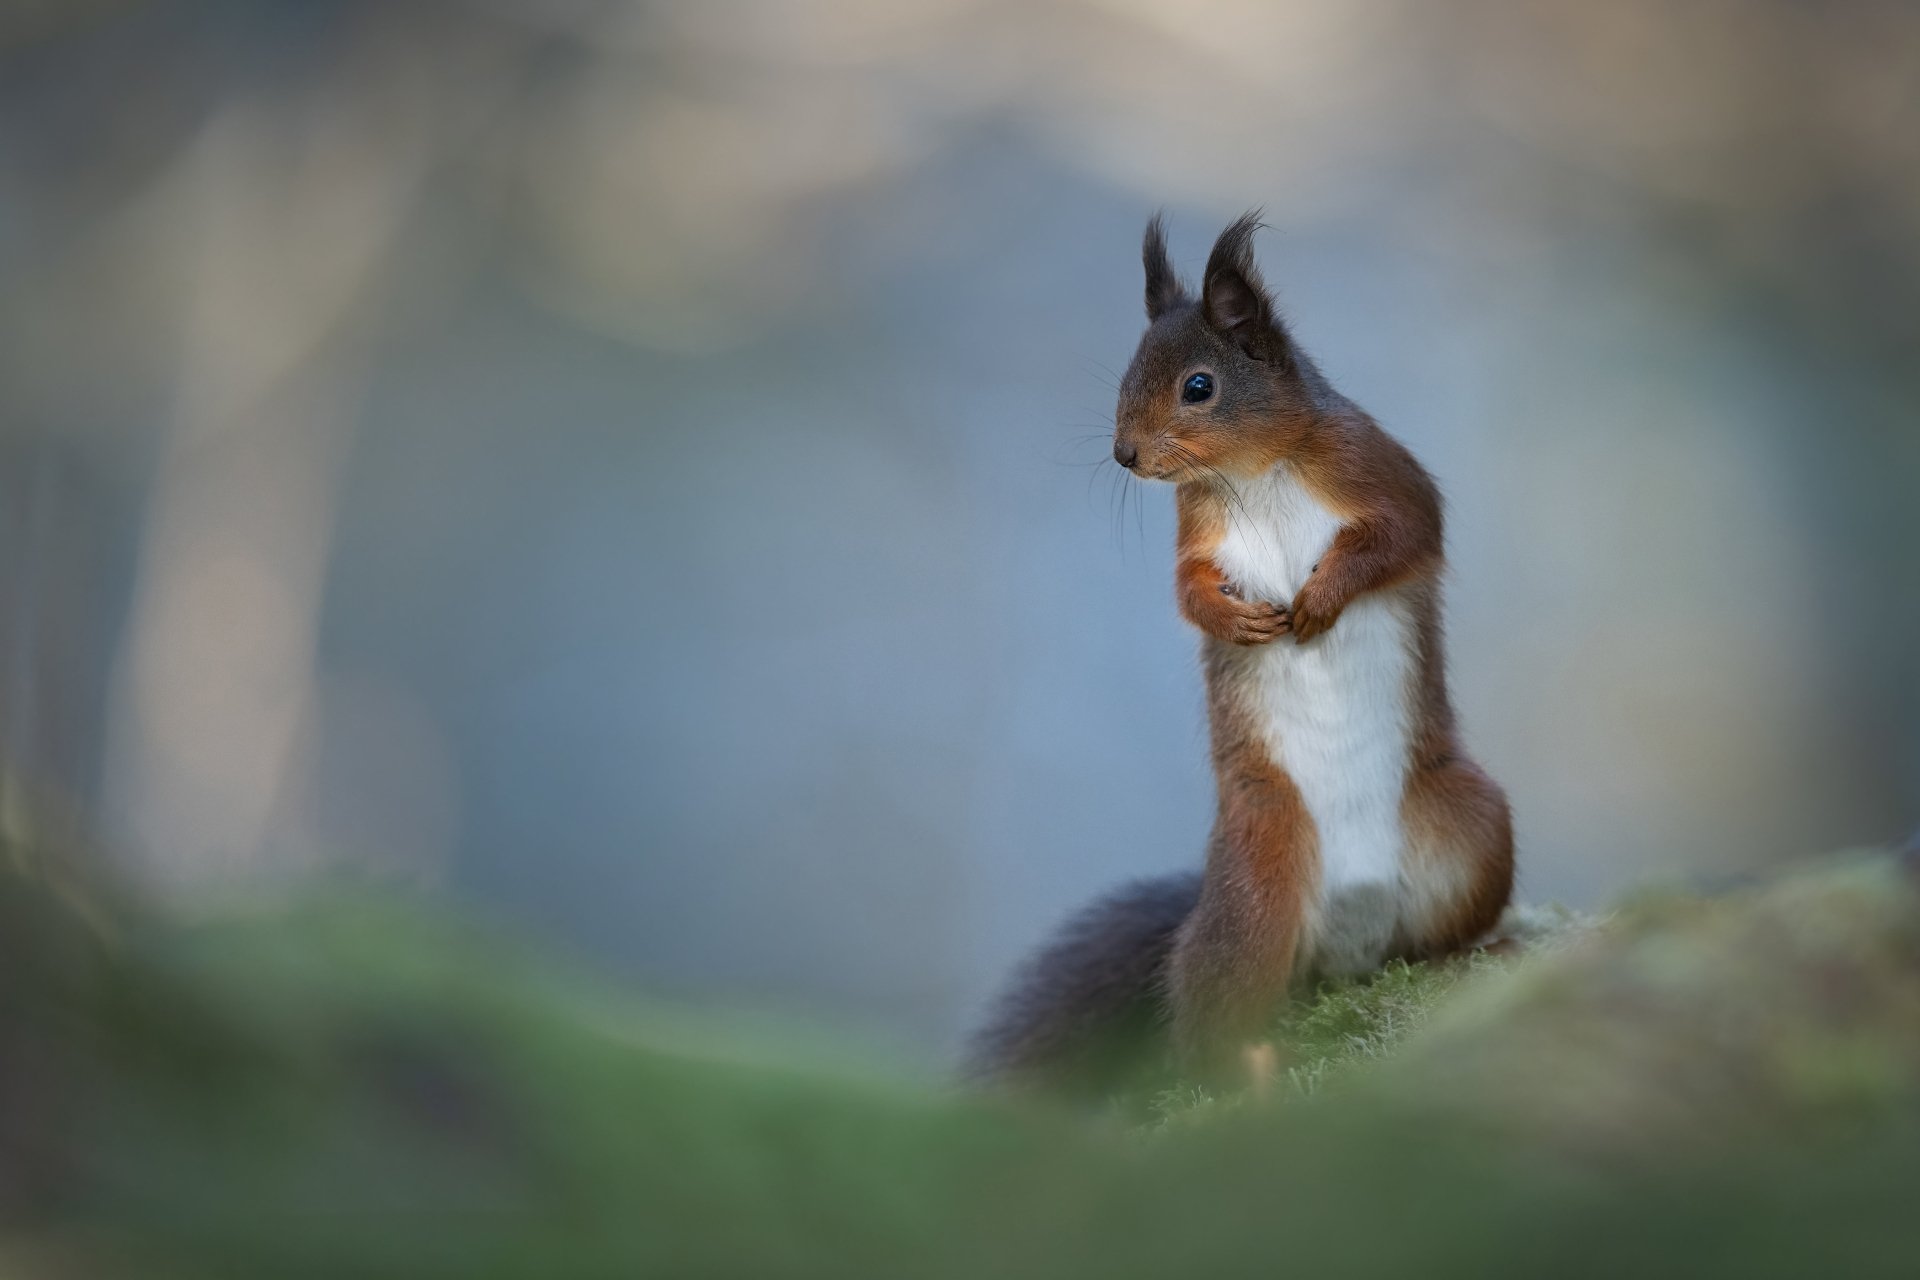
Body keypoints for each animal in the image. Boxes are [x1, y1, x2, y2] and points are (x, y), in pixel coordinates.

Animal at [969, 213, 1514, 1095]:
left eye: (1199, 386)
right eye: (1127, 372)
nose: (1124, 454)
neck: (1253, 472)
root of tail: (1348, 949)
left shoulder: (1379, 470)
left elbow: (1405, 534)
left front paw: (1322, 599)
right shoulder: (1199, 532)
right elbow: (1188, 589)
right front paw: (1234, 621)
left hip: (1471, 827)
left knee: (1431, 940)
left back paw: (1474, 955)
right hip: (1253, 892)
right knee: (1211, 1020)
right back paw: (1254, 1065)